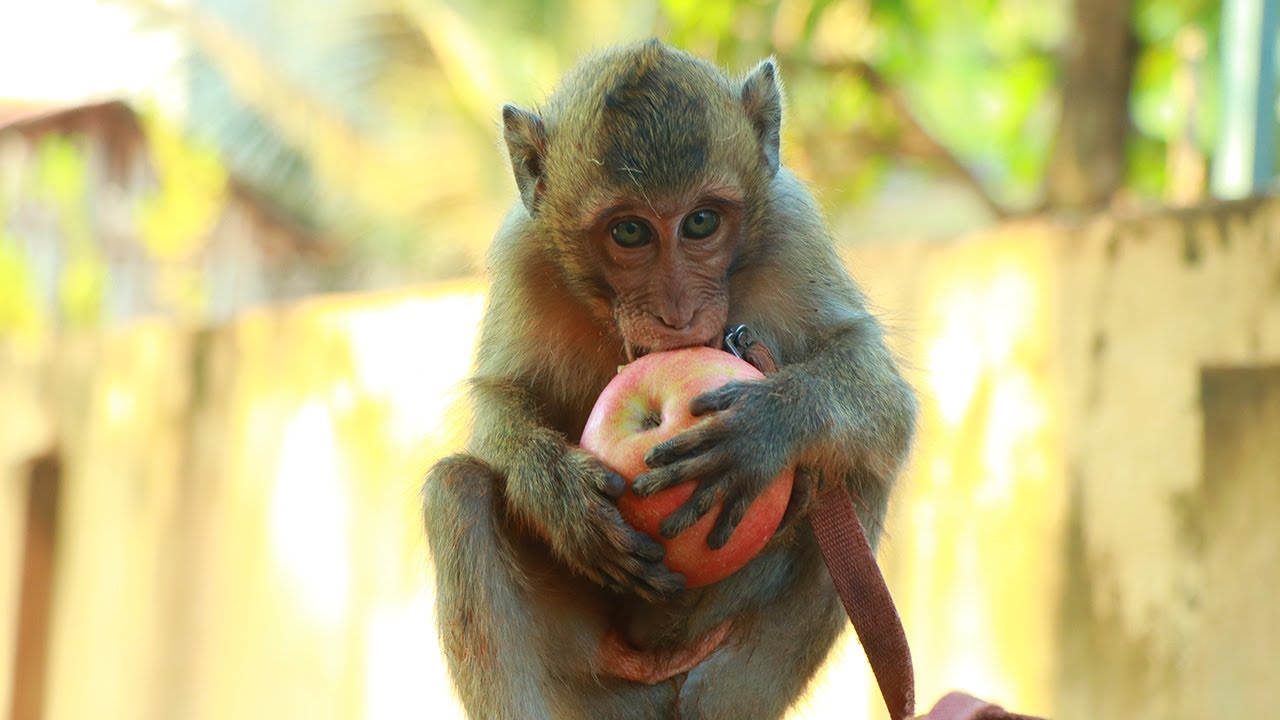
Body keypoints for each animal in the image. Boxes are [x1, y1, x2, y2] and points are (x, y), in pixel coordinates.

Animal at [422, 40, 917, 720]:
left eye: (701, 222)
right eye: (630, 231)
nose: (676, 314)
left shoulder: (793, 226)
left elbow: (879, 386)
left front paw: (763, 429)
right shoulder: (522, 254)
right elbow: (500, 398)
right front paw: (564, 500)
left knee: (857, 466)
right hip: (590, 683)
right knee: (457, 492)